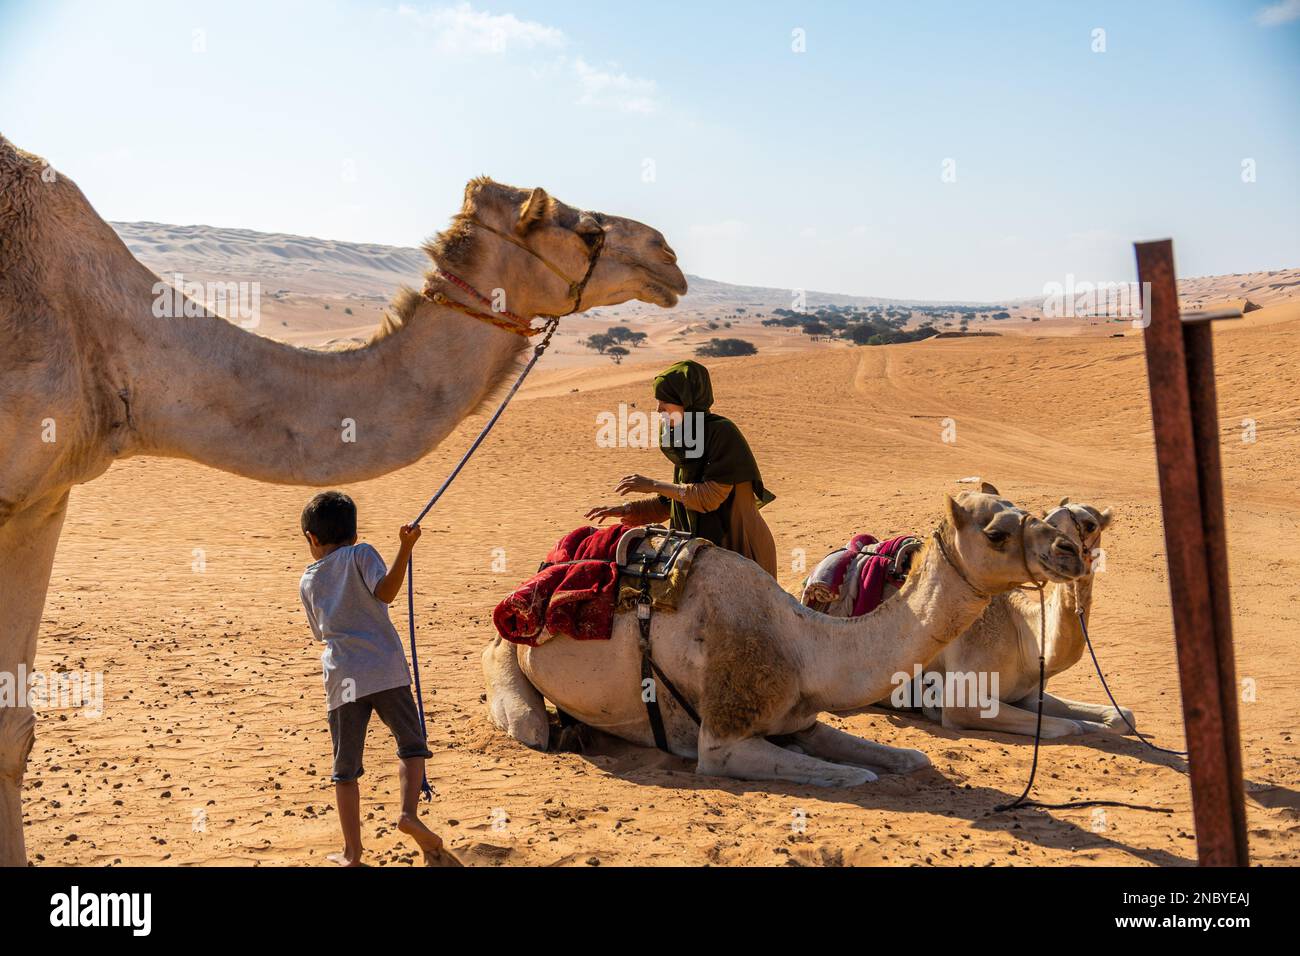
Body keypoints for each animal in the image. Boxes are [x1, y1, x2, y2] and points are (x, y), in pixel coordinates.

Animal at [482, 489, 1087, 787]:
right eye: (997, 532)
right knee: (529, 721)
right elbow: (855, 775)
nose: (1071, 550)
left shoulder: (806, 719)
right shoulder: (723, 742)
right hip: (509, 652)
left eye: (1030, 510)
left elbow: (910, 758)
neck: (805, 647)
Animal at [816, 485, 1132, 739]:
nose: (1066, 550)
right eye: (1049, 517)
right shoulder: (963, 701)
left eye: (1091, 525)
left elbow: (1122, 716)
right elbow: (1070, 726)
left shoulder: (1029, 696)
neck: (1023, 636)